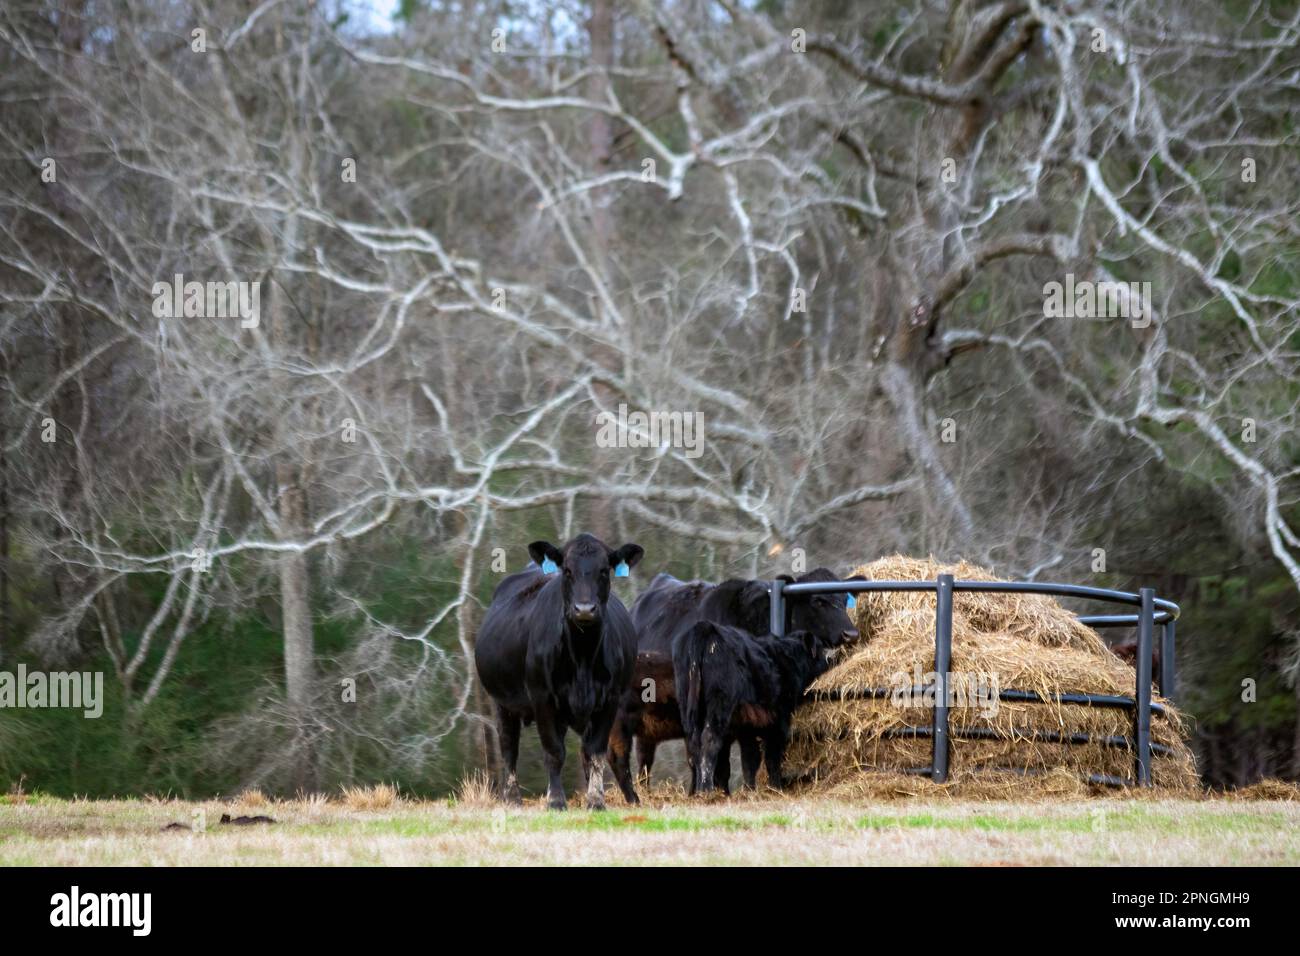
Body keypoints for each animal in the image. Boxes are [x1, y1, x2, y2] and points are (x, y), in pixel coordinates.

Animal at [474, 534, 644, 810]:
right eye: (567, 571)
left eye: (604, 571)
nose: (584, 609)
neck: (582, 655)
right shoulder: (542, 696)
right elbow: (553, 752)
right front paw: (555, 800)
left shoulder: (610, 700)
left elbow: (595, 751)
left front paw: (595, 801)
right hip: (502, 702)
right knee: (509, 747)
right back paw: (513, 799)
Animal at [674, 621, 840, 793]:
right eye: (821, 650)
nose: (836, 656)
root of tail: (705, 627)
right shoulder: (778, 720)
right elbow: (772, 756)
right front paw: (776, 788)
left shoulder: (747, 725)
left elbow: (749, 760)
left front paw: (750, 790)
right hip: (718, 705)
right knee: (709, 740)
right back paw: (706, 790)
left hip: (688, 707)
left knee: (694, 747)